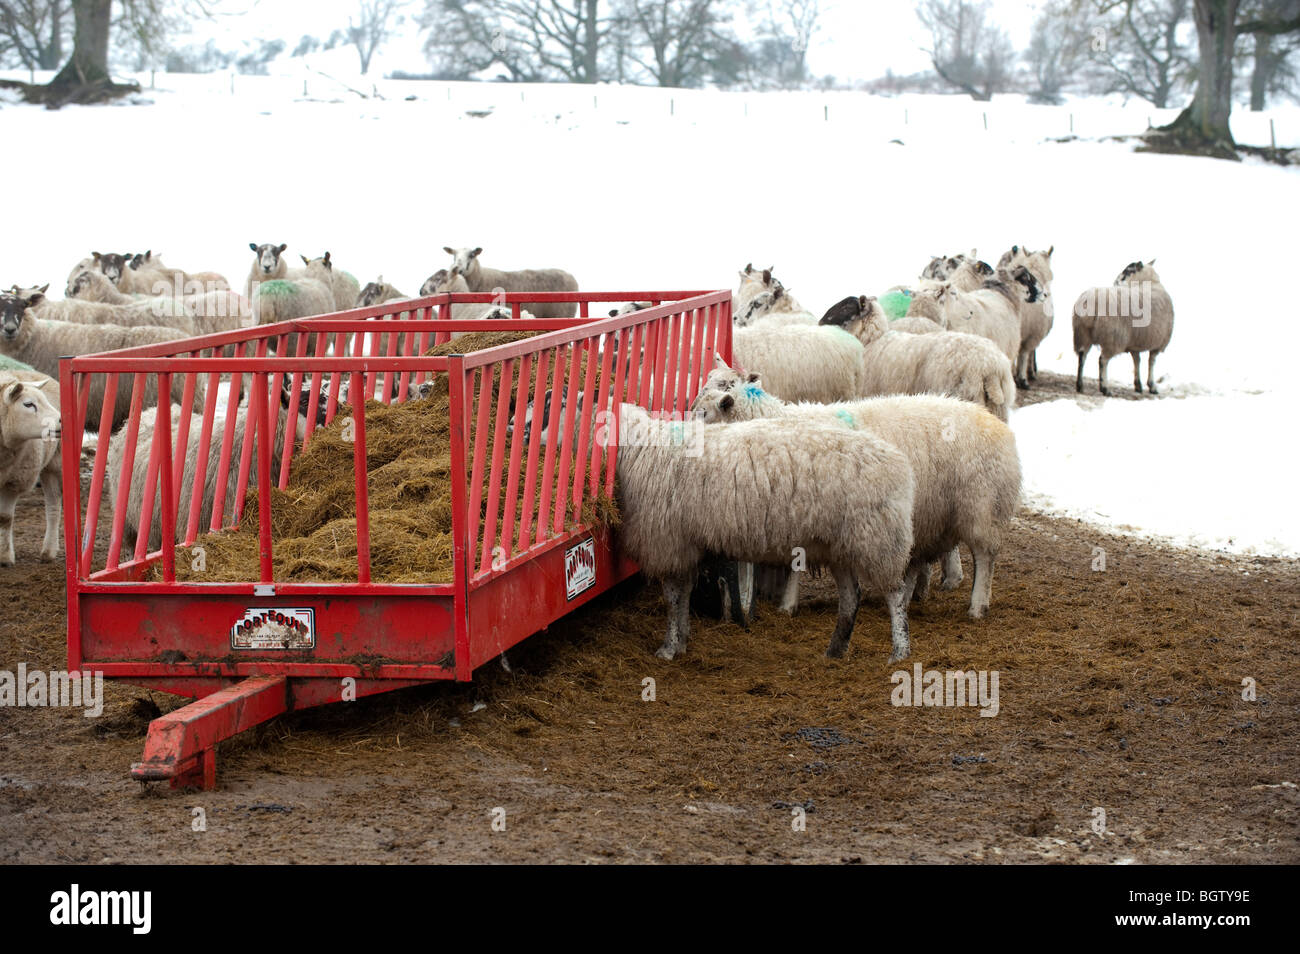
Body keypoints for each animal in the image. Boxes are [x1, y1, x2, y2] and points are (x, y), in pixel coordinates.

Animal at [0, 372, 62, 565]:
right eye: (28, 404)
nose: (61, 420)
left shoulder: (14, 481)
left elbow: (5, 518)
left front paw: (5, 557)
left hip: (54, 464)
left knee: (54, 504)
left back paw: (49, 551)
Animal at [443, 246, 579, 319]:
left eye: (471, 255)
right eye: (454, 255)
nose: (458, 269)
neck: (480, 277)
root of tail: (571, 276)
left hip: (563, 313)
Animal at [615, 403, 917, 662]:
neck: (641, 450)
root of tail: (899, 464)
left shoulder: (668, 542)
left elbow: (672, 598)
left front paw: (668, 648)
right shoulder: (685, 544)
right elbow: (684, 594)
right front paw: (682, 641)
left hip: (878, 537)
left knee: (896, 593)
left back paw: (899, 651)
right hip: (840, 545)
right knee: (852, 595)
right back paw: (836, 649)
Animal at [692, 363, 1022, 621]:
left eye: (725, 385)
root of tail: (999, 426)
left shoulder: (805, 511)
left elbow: (796, 565)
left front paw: (787, 604)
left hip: (981, 505)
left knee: (985, 556)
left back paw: (977, 605)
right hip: (938, 509)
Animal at [1072, 260, 1174, 395]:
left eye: (1128, 271)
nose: (1115, 282)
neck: (1149, 283)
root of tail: (1090, 301)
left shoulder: (1135, 342)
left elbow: (1137, 361)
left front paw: (1138, 385)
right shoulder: (1158, 343)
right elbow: (1151, 363)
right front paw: (1152, 386)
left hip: (1083, 334)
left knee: (1082, 357)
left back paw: (1080, 386)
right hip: (1112, 337)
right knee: (1102, 360)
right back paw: (1105, 388)